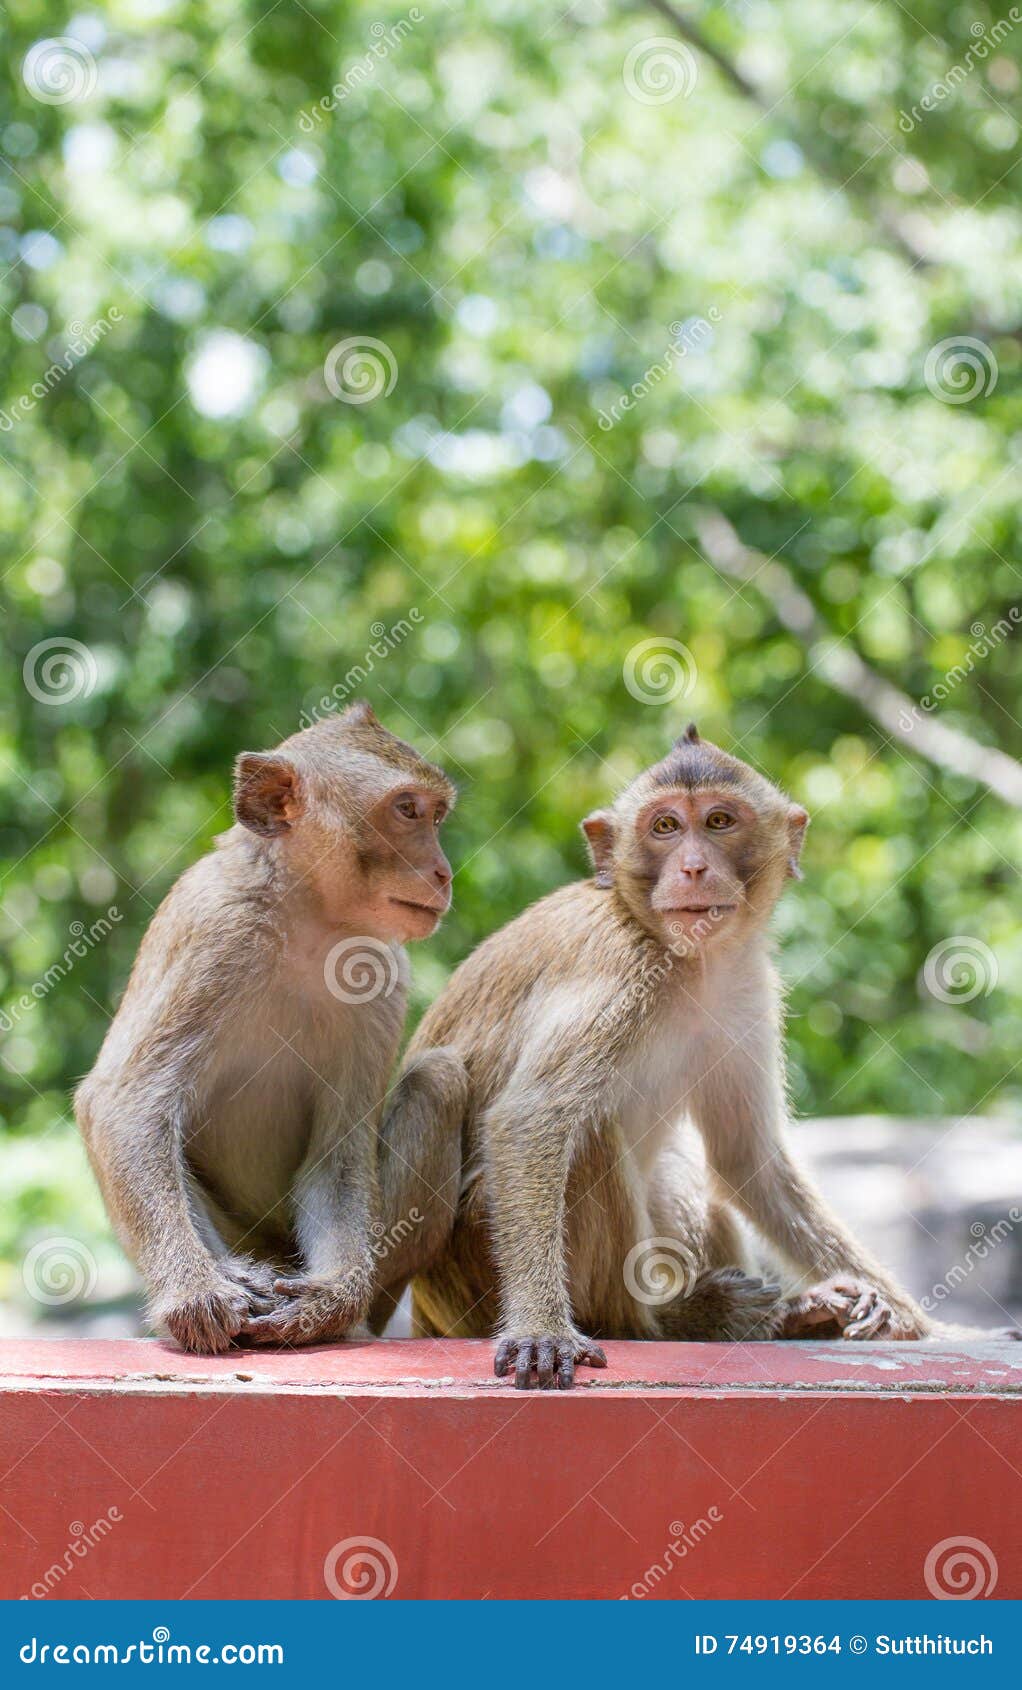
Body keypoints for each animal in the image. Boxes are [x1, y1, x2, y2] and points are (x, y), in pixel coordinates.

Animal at [75, 702, 465, 1355]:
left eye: (436, 816)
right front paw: (199, 1293)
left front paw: (328, 1303)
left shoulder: (385, 973)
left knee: (438, 1079)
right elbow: (123, 1104)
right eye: (408, 810)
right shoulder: (214, 929)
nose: (443, 871)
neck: (307, 918)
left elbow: (337, 1152)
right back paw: (241, 1274)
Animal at [370, 724, 971, 1389]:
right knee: (589, 1136)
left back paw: (788, 1314)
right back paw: (678, 1318)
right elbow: (530, 1121)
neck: (689, 961)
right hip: (471, 1267)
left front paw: (909, 1316)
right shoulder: (618, 970)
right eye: (664, 827)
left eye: (718, 821)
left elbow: (747, 1158)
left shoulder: (747, 991)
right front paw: (542, 1330)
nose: (692, 866)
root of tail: (427, 1311)